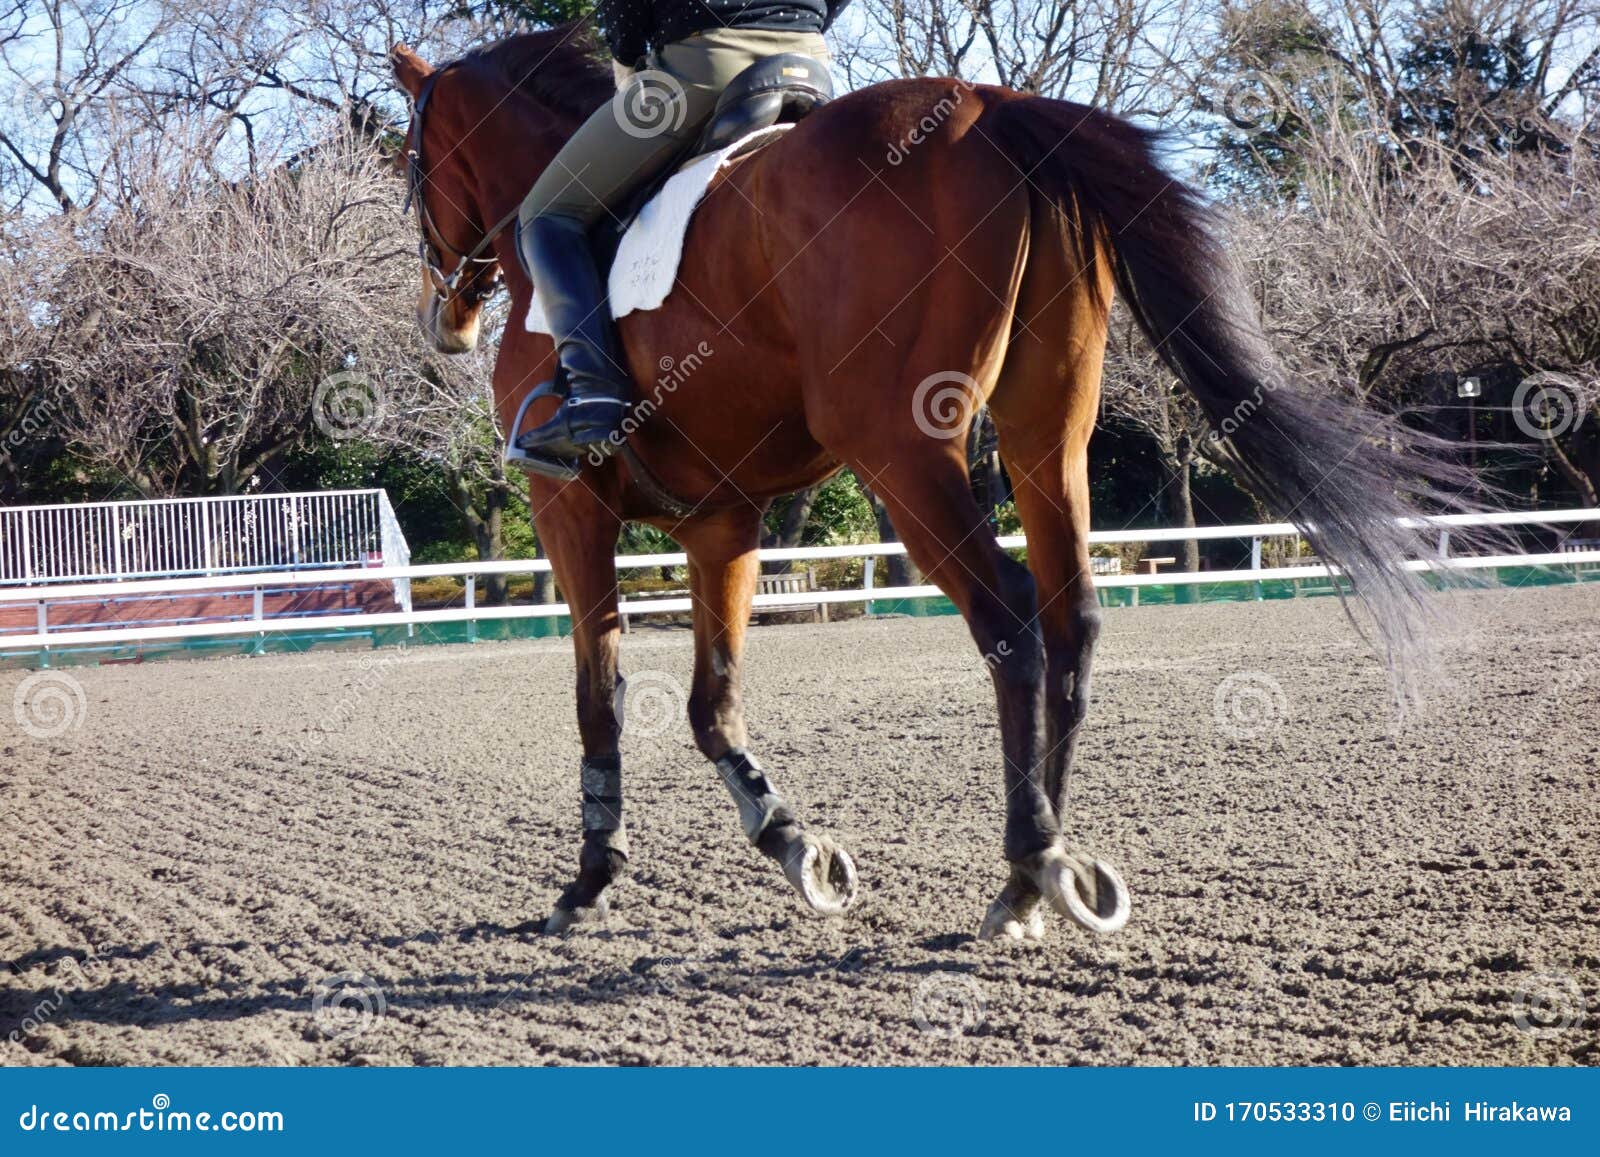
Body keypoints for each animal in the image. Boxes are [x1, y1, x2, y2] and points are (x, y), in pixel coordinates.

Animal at [388, 24, 1462, 941]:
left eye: (408, 161)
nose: (447, 317)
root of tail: (990, 100)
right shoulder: (722, 521)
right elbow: (710, 701)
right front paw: (794, 845)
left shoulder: (568, 505)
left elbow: (599, 692)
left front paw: (589, 879)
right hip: (1045, 436)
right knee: (1071, 619)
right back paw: (1036, 877)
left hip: (903, 452)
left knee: (1010, 619)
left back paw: (1033, 865)